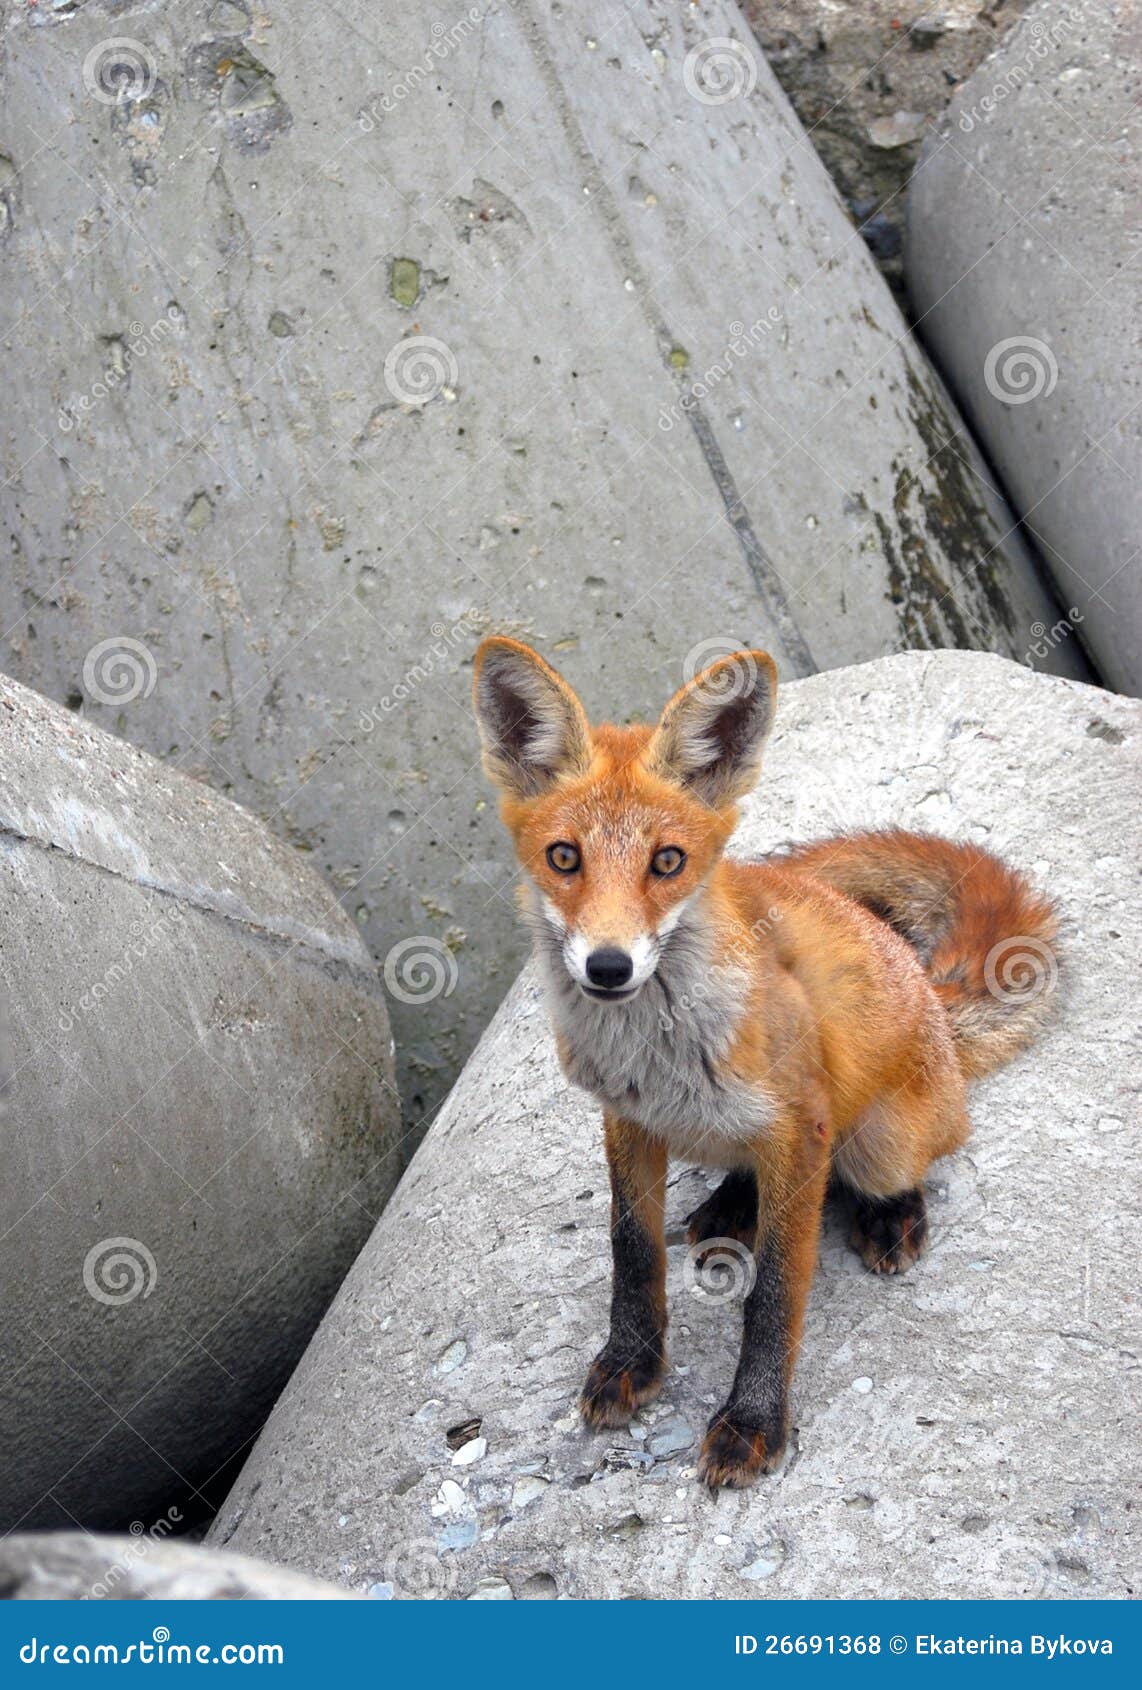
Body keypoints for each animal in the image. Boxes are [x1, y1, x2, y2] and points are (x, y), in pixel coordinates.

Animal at [472, 637, 1058, 1491]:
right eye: (564, 857)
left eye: (668, 862)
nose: (609, 967)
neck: (661, 1057)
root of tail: (930, 996)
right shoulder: (627, 1122)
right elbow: (631, 1252)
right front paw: (631, 1362)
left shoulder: (801, 1126)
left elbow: (775, 1295)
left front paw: (753, 1423)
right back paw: (728, 1202)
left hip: (880, 1143)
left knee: (896, 1168)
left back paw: (890, 1215)